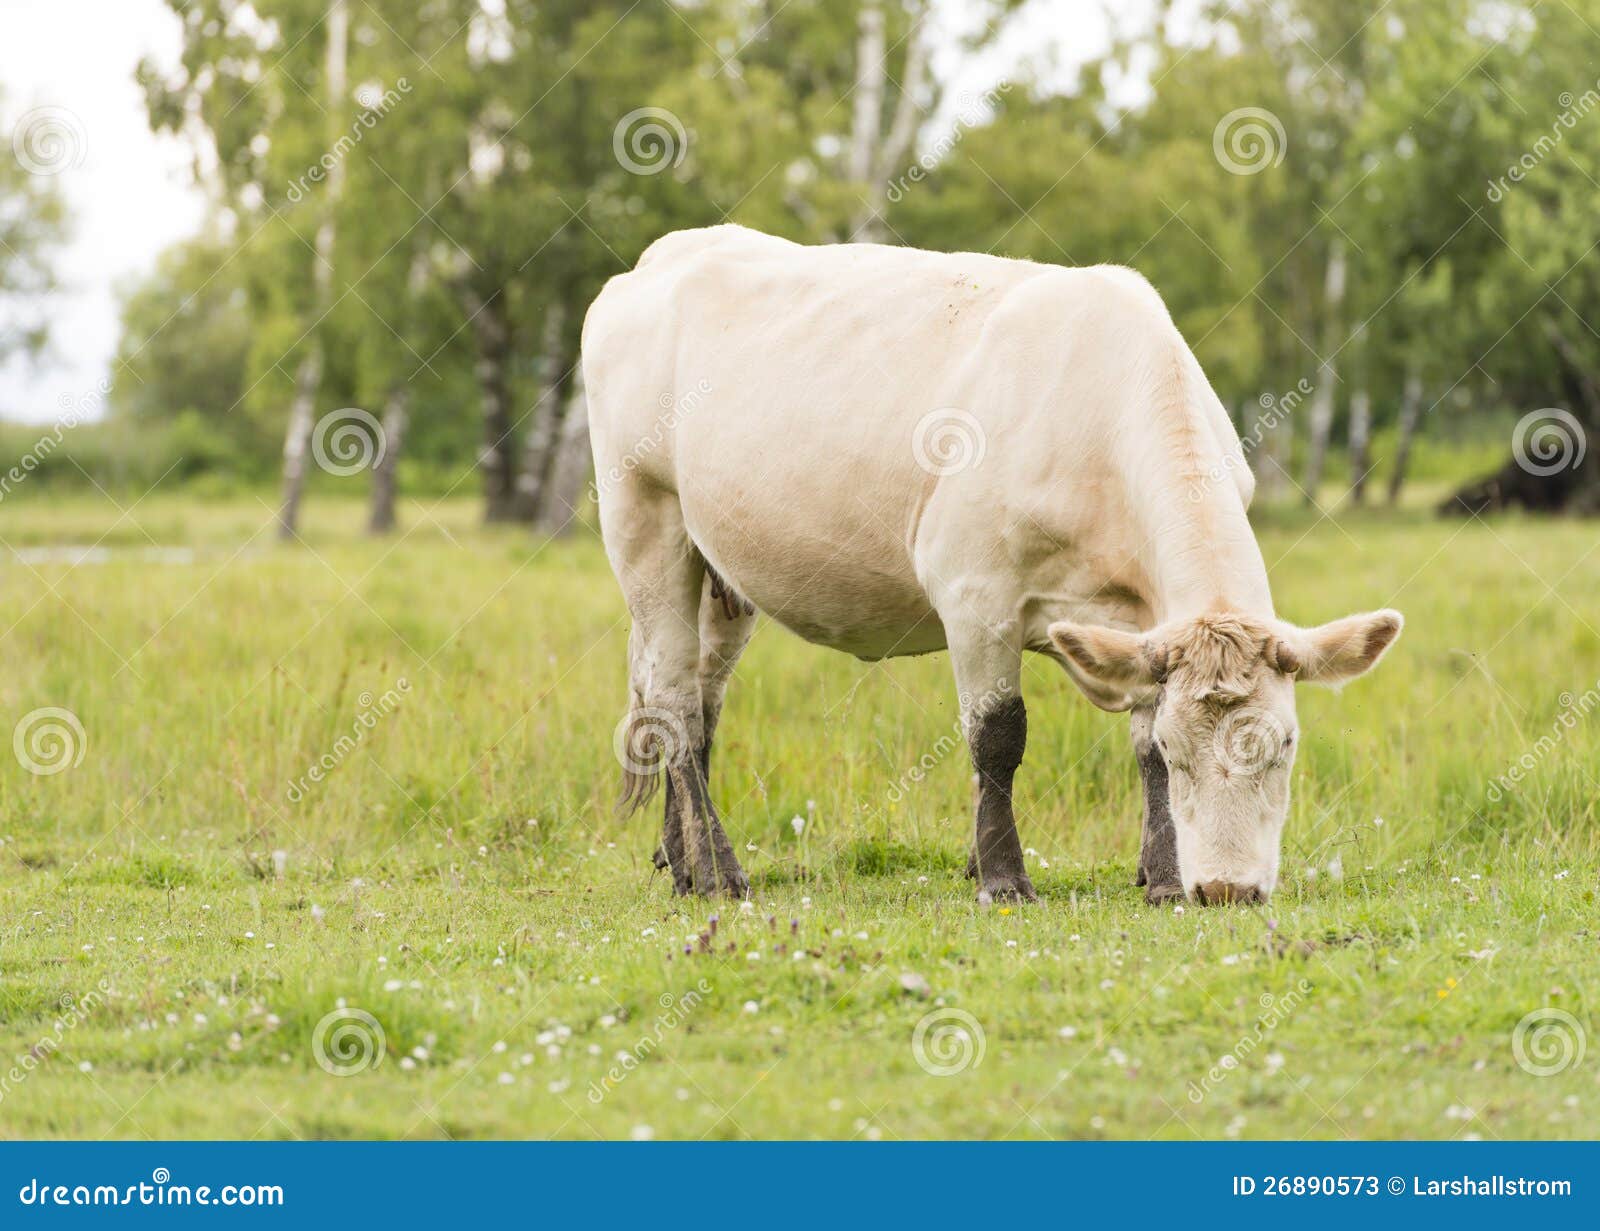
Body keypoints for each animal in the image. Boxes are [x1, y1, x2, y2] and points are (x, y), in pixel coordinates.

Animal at [582, 225, 1402, 906]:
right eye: (1184, 749)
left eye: (1286, 745)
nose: (1228, 889)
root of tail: (663, 254)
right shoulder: (975, 592)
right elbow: (998, 739)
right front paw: (1002, 876)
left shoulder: (1139, 623)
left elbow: (1133, 748)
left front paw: (1163, 877)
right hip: (643, 518)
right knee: (673, 698)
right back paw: (718, 872)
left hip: (720, 573)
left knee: (695, 700)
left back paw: (679, 859)